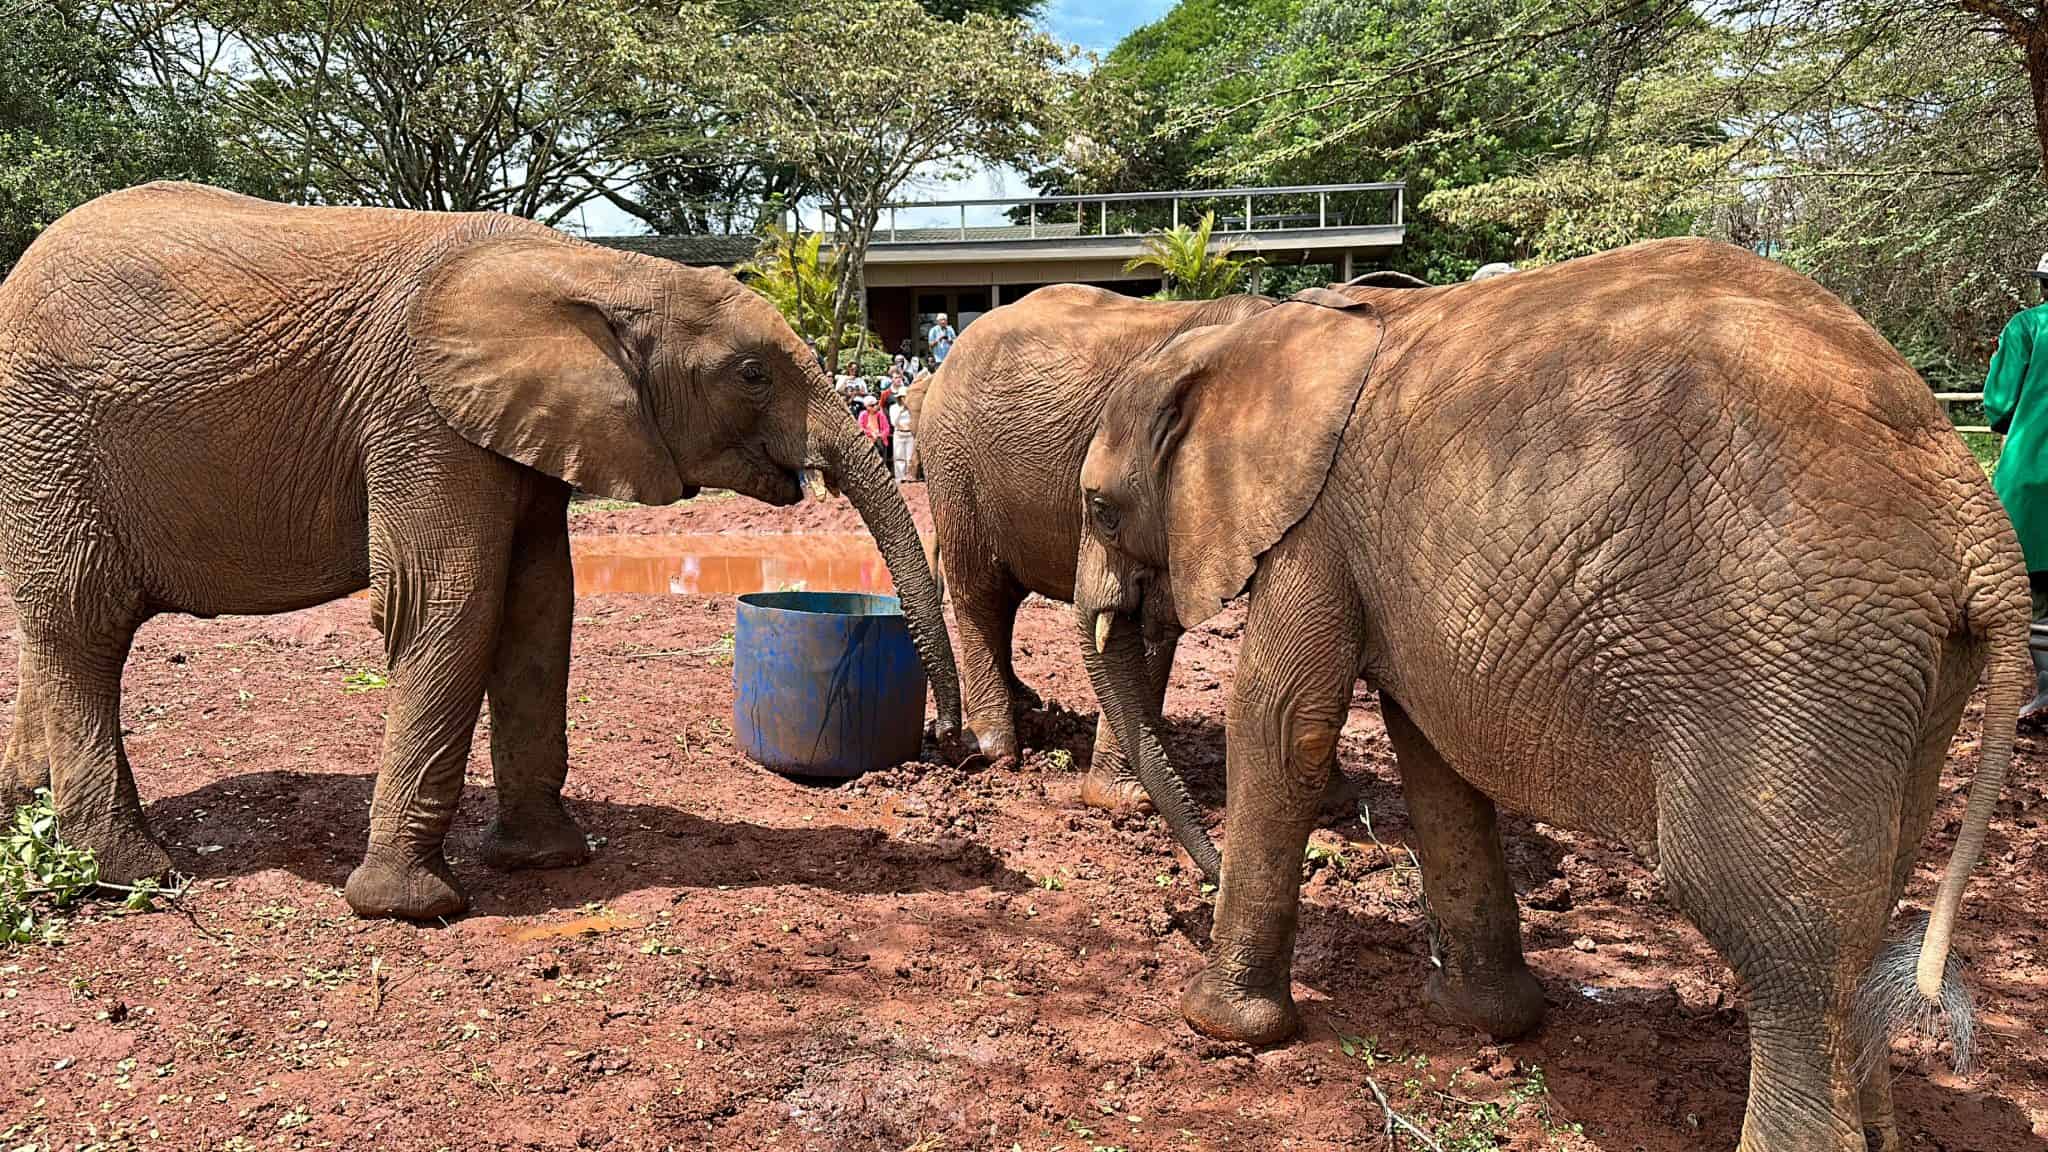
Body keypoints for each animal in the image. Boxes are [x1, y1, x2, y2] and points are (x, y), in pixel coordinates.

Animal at [0, 182, 960, 920]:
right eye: (754, 375)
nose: (952, 747)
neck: (598, 268)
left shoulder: (521, 430)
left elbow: (541, 608)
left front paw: (547, 860)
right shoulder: (423, 417)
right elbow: (446, 604)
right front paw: (409, 909)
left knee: (55, 629)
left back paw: (26, 811)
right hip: (48, 438)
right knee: (82, 626)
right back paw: (130, 877)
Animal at [1072, 238, 2026, 1151]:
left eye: (1101, 509)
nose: (1196, 879)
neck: (1265, 332)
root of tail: (1977, 522)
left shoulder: (1318, 527)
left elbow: (1282, 729)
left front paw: (1219, 1026)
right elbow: (1435, 762)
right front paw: (1484, 1023)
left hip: (1799, 650)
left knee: (1786, 937)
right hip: (1906, 674)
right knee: (1864, 921)